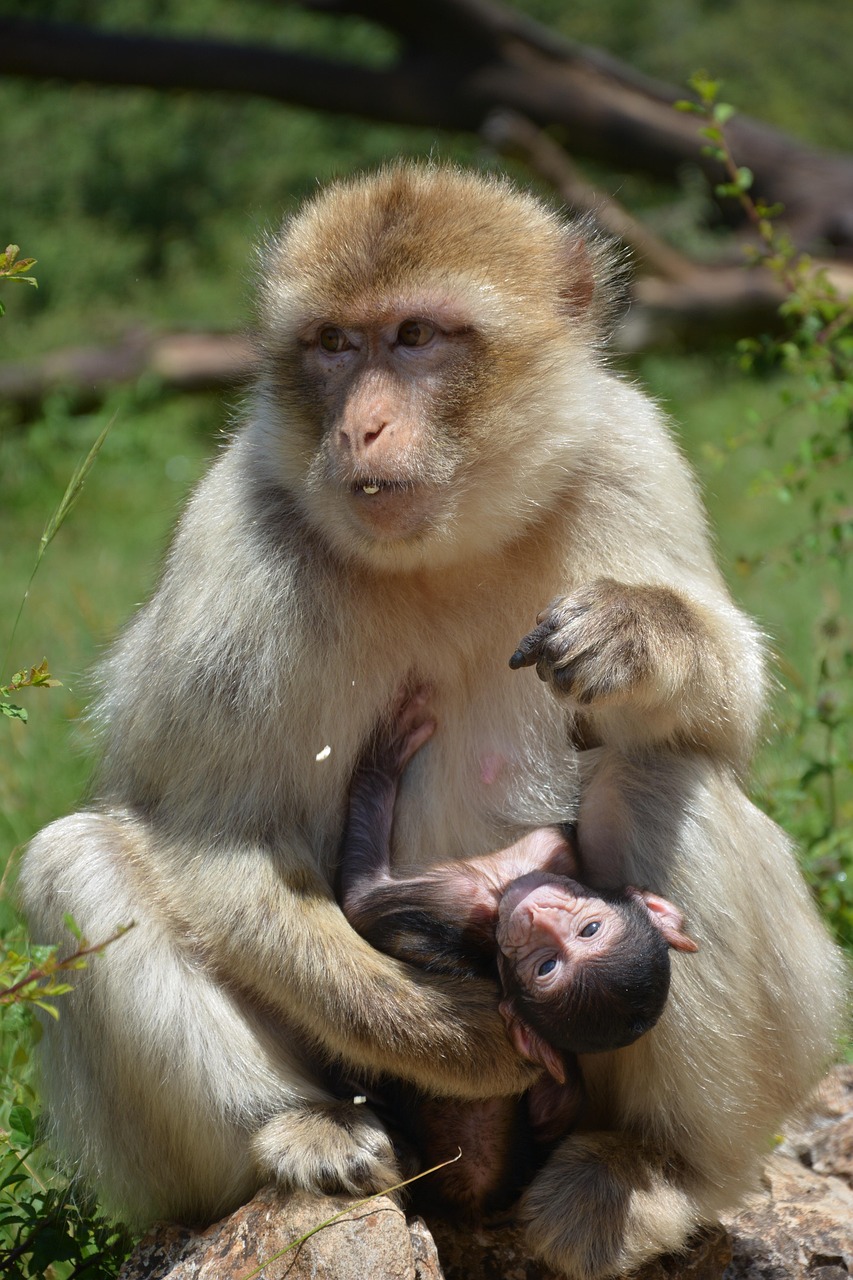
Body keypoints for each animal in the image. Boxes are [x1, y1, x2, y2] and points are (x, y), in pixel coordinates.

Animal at [21, 164, 843, 1279]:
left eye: (414, 336)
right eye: (333, 344)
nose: (358, 428)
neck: (445, 546)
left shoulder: (631, 451)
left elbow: (720, 730)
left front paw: (640, 634)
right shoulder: (234, 545)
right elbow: (206, 837)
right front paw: (456, 1035)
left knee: (654, 774)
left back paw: (650, 1166)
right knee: (77, 860)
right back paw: (299, 1129)